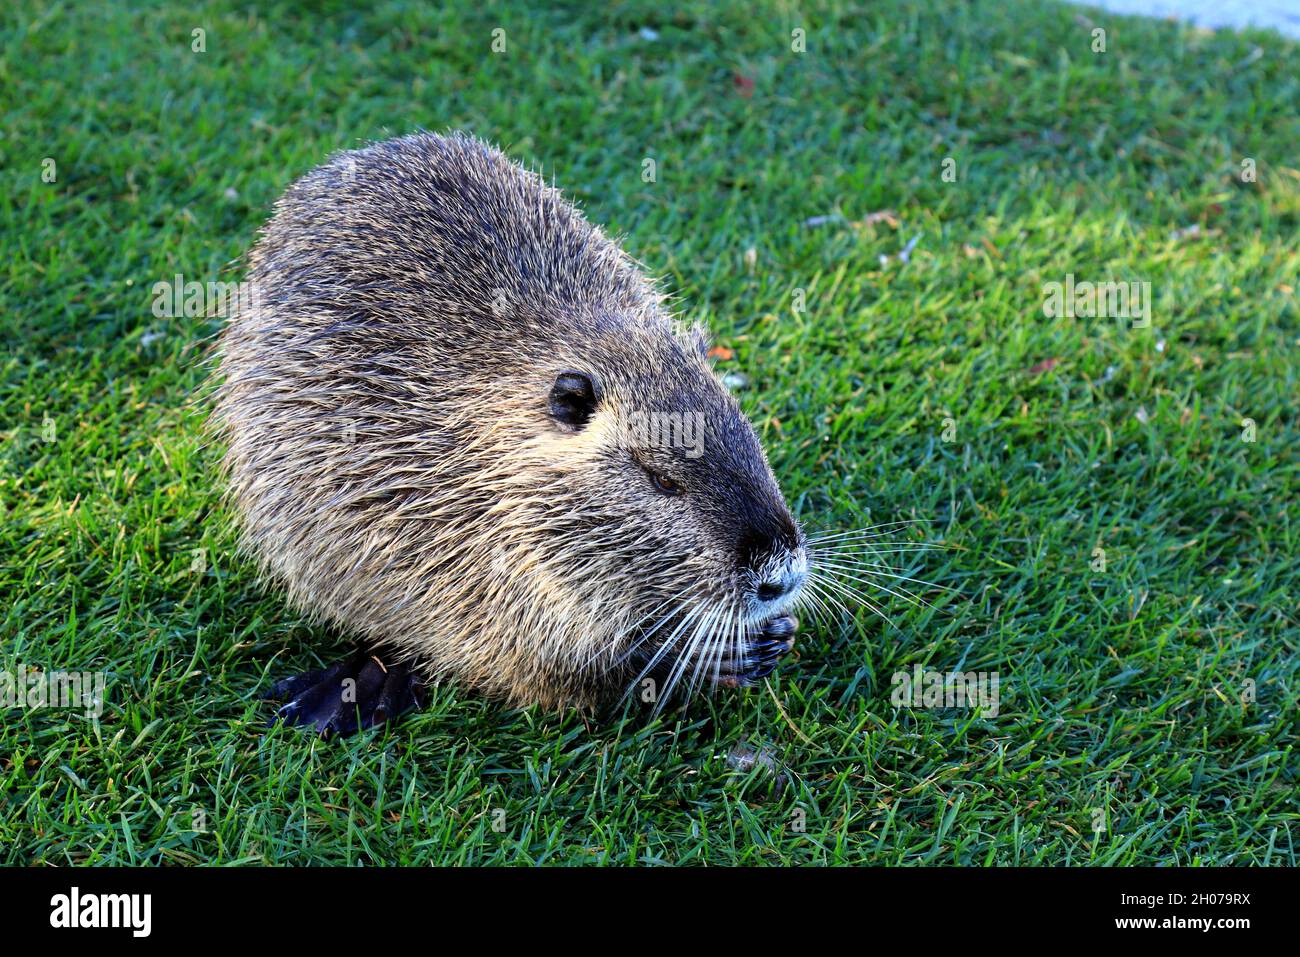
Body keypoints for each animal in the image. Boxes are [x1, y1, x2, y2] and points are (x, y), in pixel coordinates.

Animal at [211, 132, 813, 735]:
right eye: (661, 479)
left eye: (747, 437)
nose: (779, 576)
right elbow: (540, 669)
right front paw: (715, 655)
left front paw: (772, 636)